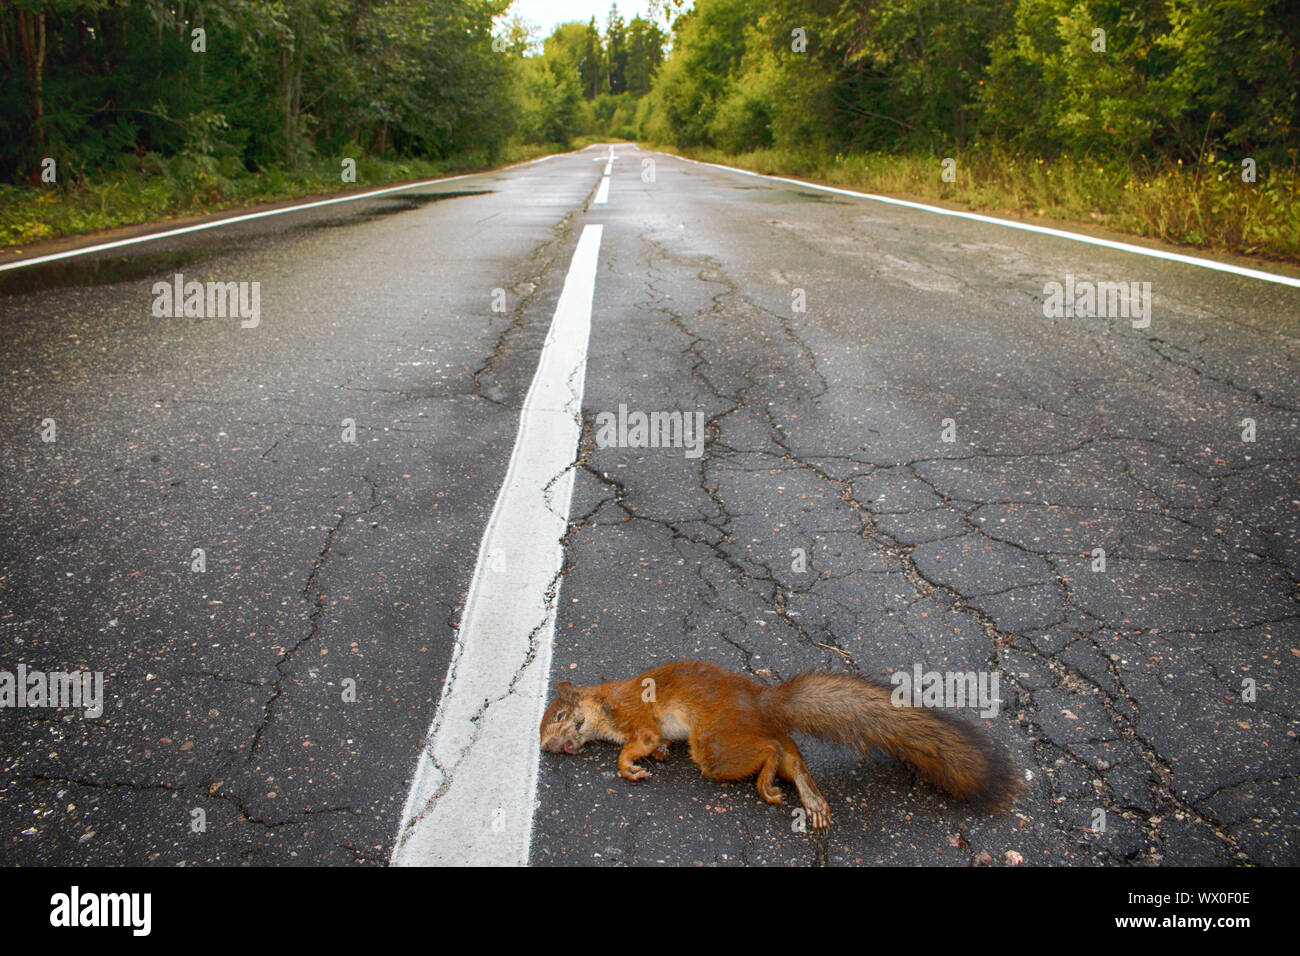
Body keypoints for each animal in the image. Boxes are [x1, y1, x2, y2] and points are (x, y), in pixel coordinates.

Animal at [539, 660, 1020, 829]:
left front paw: (629, 765)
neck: (604, 703)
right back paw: (812, 798)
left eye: (559, 717)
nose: (546, 747)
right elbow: (656, 747)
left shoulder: (634, 716)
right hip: (751, 736)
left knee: (768, 752)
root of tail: (762, 703)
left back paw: (768, 782)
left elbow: (639, 742)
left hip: (714, 744)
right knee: (791, 754)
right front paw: (655, 758)